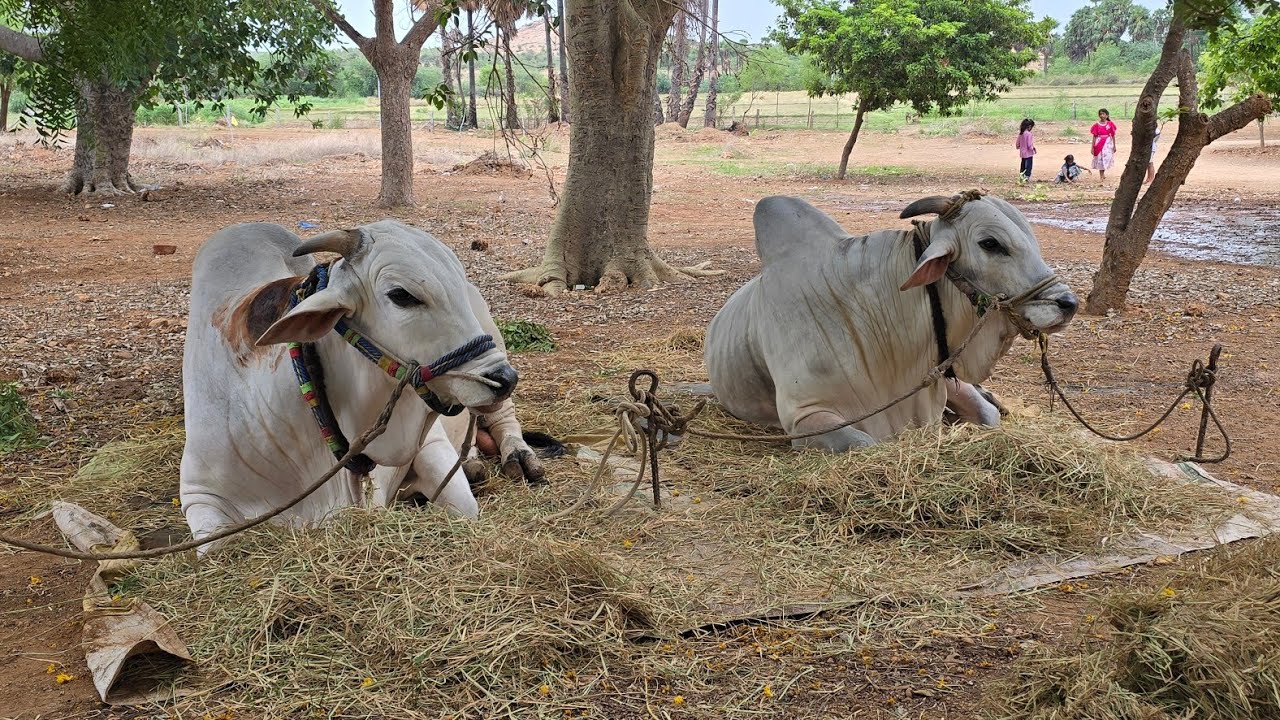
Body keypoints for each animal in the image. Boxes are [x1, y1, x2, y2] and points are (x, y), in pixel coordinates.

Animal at [180, 219, 541, 553]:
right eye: (401, 295)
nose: (504, 379)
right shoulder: (199, 496)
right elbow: (212, 548)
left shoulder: (428, 440)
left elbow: (465, 509)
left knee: (504, 420)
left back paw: (519, 456)